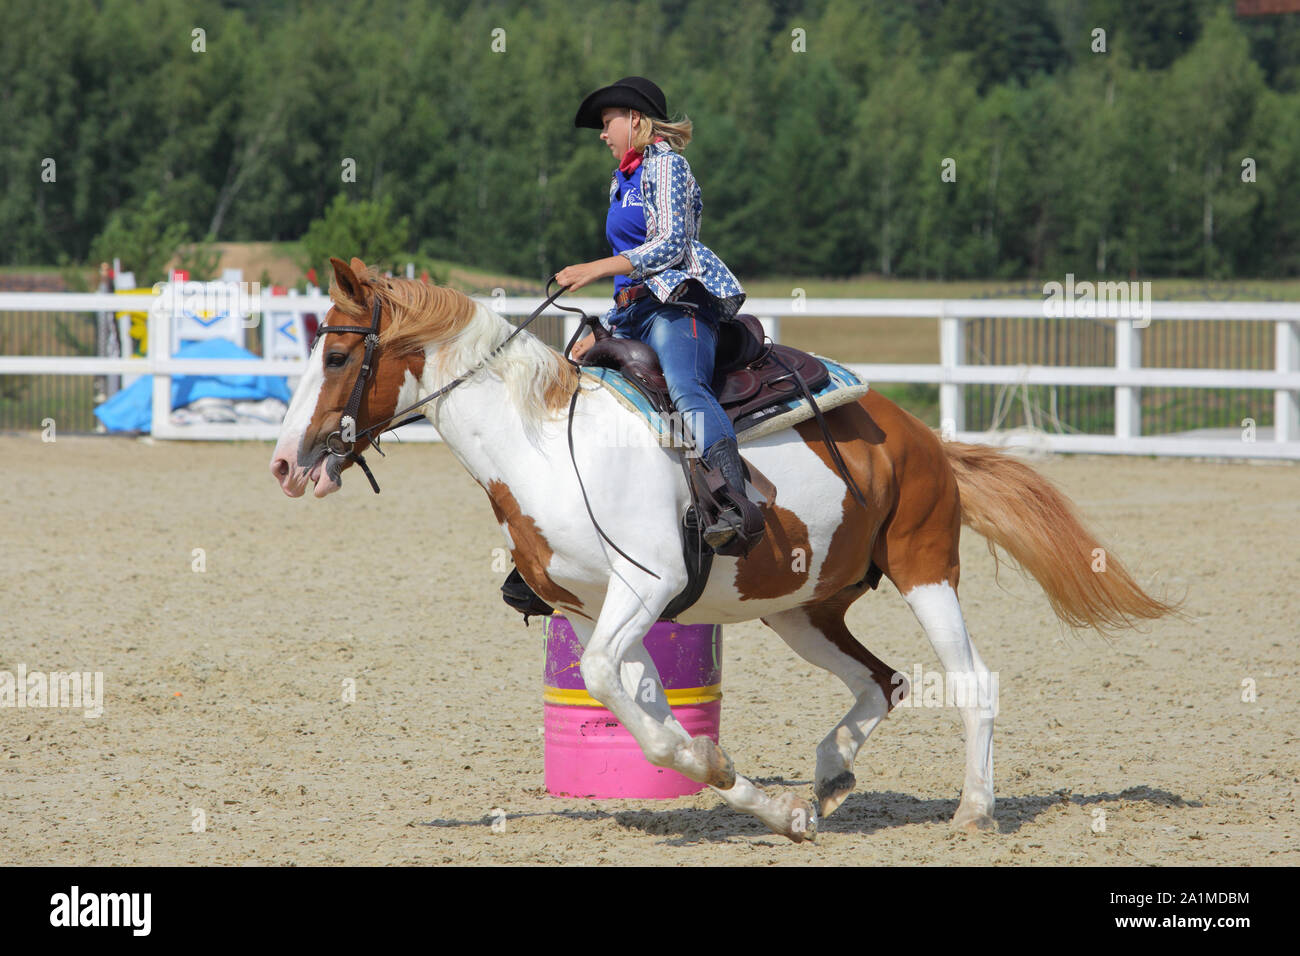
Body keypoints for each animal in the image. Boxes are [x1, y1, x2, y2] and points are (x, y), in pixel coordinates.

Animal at [269, 256, 1179, 842]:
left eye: (339, 353)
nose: (285, 463)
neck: (545, 444)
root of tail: (923, 436)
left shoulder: (643, 591)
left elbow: (643, 716)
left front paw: (756, 793)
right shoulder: (601, 613)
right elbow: (651, 722)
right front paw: (784, 810)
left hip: (926, 571)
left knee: (971, 682)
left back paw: (974, 812)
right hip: (804, 608)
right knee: (881, 682)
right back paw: (830, 774)